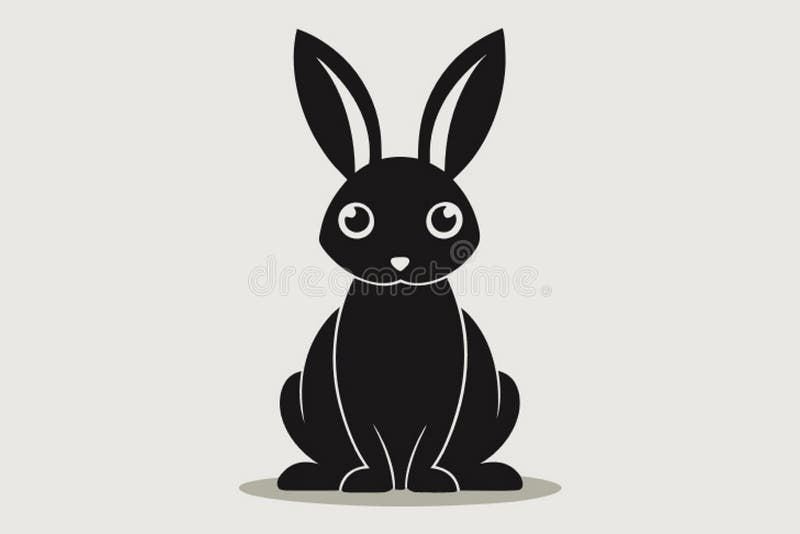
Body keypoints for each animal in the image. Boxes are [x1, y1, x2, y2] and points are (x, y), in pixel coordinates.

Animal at [277, 29, 522, 492]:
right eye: (355, 219)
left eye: (445, 218)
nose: (402, 259)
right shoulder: (352, 393)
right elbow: (367, 440)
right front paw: (370, 482)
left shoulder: (447, 394)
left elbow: (432, 441)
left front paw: (428, 481)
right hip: (290, 392)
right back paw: (311, 476)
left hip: (509, 393)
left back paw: (488, 476)